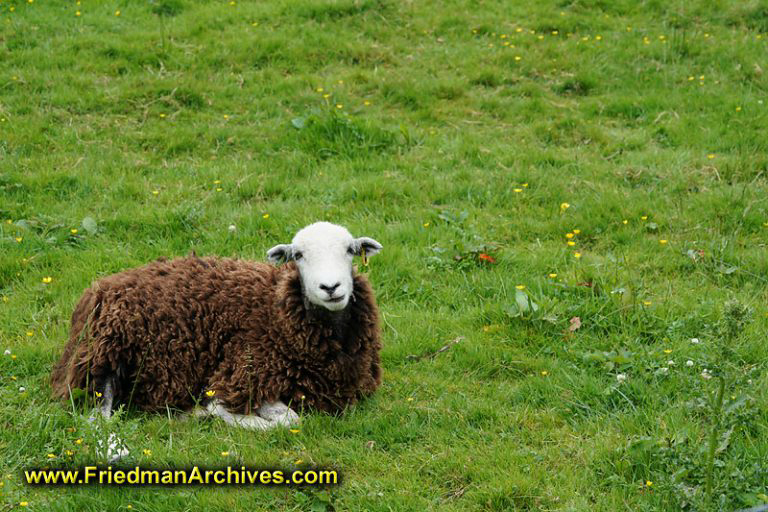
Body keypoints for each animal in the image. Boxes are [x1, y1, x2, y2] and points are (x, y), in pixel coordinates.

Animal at [50, 221, 383, 433]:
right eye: (298, 255)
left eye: (350, 251)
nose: (331, 287)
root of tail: (102, 286)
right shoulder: (244, 372)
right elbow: (287, 420)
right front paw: (209, 412)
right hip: (104, 356)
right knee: (99, 420)